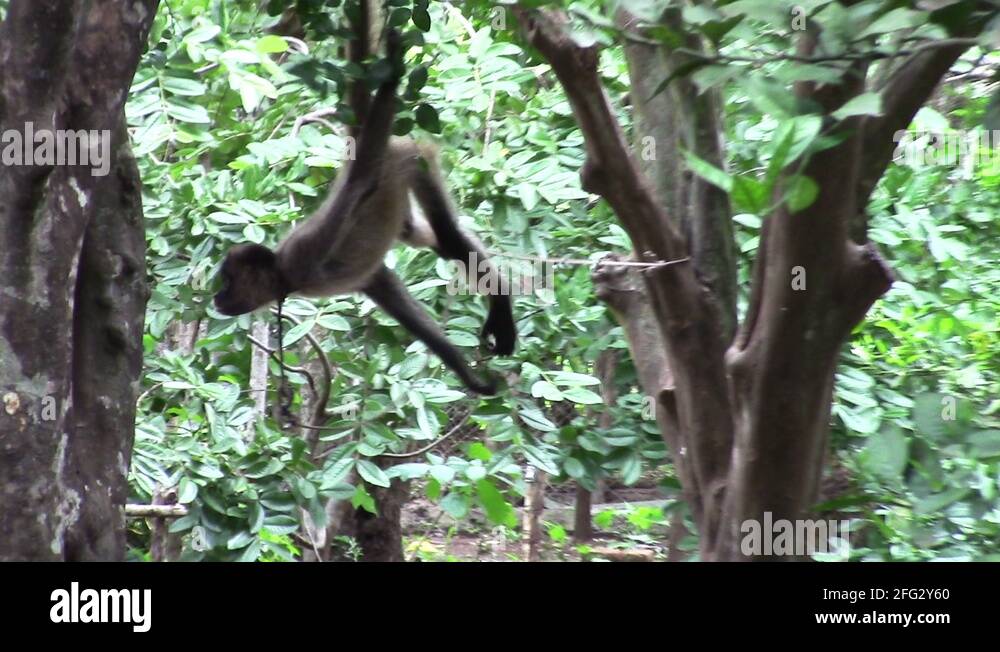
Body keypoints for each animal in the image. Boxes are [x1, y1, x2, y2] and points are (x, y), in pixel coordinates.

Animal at [213, 32, 515, 395]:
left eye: (228, 281)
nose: (216, 296)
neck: (284, 275)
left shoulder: (304, 255)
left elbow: (360, 182)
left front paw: (394, 66)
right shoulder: (368, 278)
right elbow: (385, 285)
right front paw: (469, 377)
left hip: (409, 157)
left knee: (447, 234)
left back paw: (501, 303)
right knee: (426, 236)